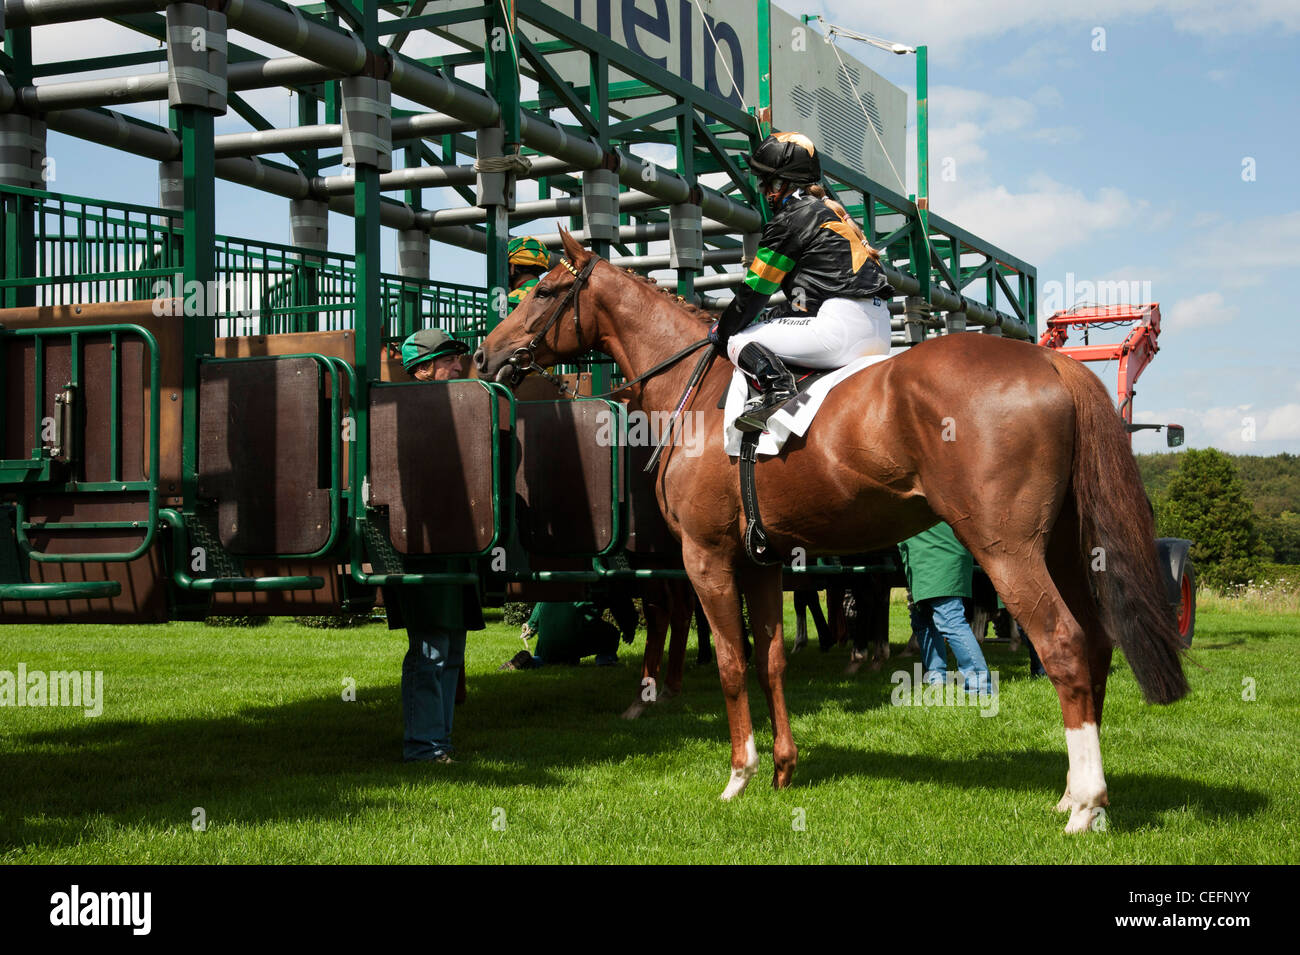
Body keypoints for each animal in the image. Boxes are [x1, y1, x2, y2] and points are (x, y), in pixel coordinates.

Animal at [474, 229, 1188, 833]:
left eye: (543, 292)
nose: (486, 353)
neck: (695, 391)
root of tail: (1054, 366)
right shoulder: (759, 562)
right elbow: (771, 658)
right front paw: (783, 769)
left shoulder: (707, 557)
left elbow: (731, 661)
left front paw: (739, 775)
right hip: (1068, 548)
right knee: (1097, 644)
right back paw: (1074, 794)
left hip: (1007, 549)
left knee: (1063, 644)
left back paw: (1086, 805)